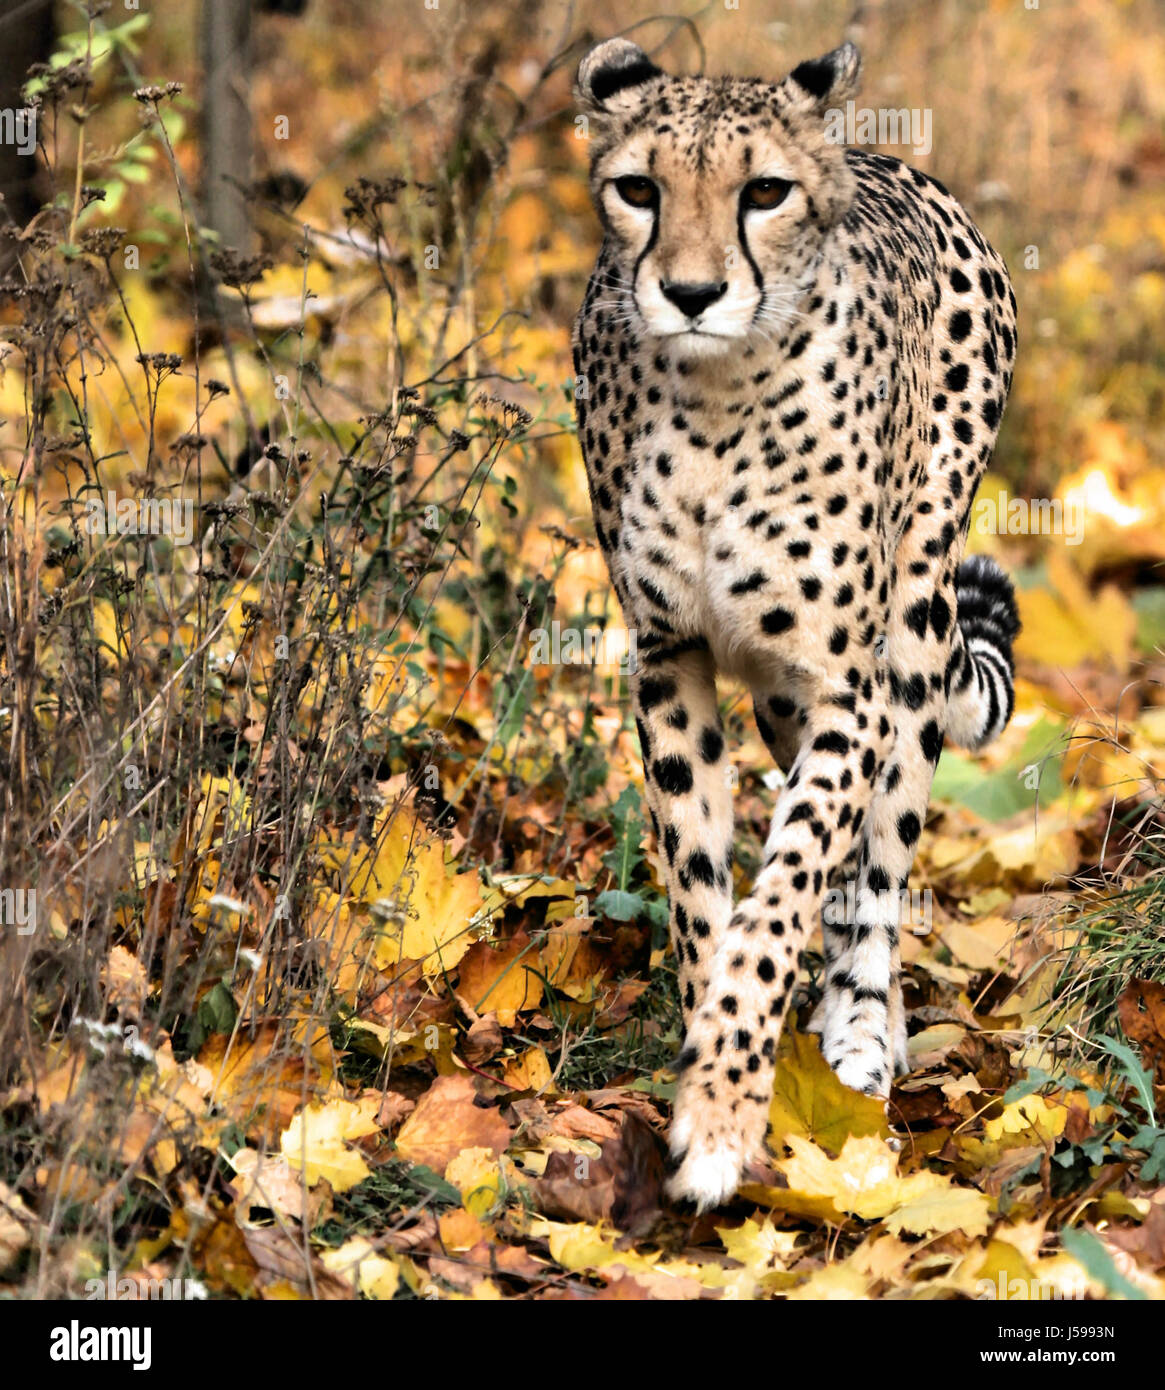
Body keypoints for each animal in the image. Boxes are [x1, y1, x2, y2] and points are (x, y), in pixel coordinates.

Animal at [571, 35, 1021, 1211]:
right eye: (639, 190)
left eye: (763, 192)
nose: (689, 292)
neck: (713, 397)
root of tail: (889, 159)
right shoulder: (669, 659)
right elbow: (701, 890)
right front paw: (711, 1065)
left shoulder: (843, 687)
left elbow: (780, 896)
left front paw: (726, 1110)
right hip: (779, 695)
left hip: (910, 632)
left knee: (881, 857)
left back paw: (861, 1030)